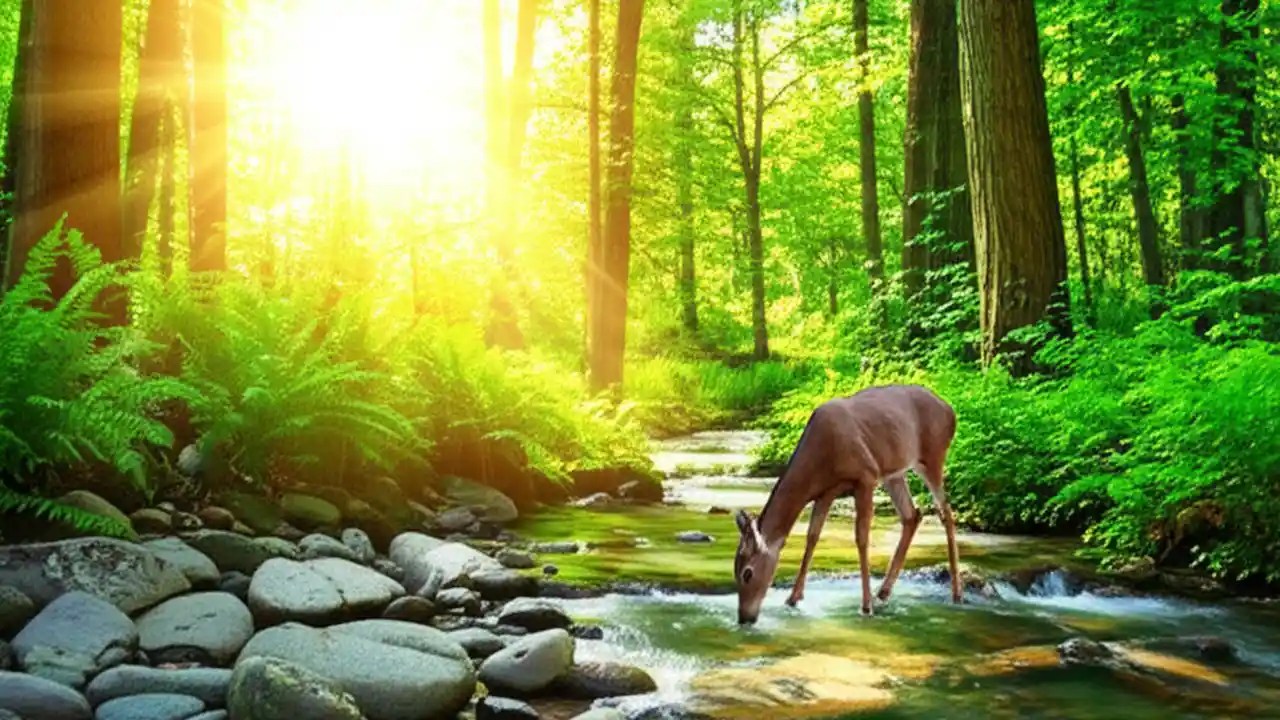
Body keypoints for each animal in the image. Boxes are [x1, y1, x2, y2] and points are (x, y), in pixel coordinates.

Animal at [733, 384, 961, 625]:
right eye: (734, 569)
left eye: (747, 573)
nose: (744, 618)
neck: (820, 461)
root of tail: (949, 410)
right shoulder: (825, 493)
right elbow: (812, 537)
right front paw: (793, 598)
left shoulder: (866, 476)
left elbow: (862, 539)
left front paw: (866, 606)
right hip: (894, 473)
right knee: (912, 515)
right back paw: (884, 592)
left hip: (932, 456)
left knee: (946, 511)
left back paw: (956, 594)